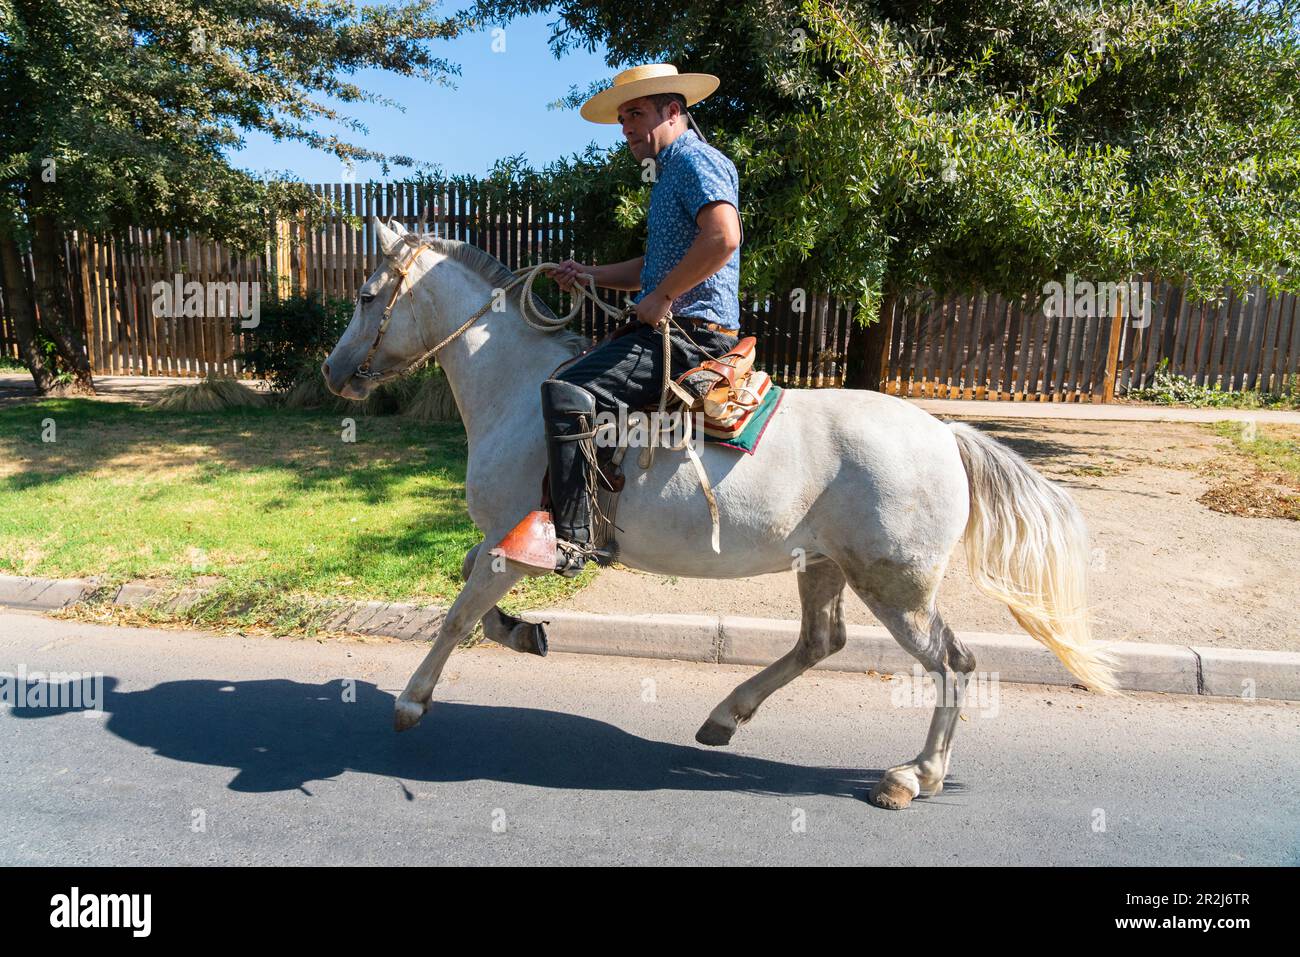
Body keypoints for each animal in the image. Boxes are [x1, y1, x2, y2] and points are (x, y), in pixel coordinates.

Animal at [322, 217, 1117, 810]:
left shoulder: (511, 543)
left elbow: (457, 613)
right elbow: (474, 601)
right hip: (823, 565)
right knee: (821, 642)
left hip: (896, 585)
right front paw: (524, 632)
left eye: (365, 294)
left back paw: (912, 776)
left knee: (953, 662)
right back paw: (725, 716)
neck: (518, 393)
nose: (332, 371)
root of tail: (945, 436)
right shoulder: (505, 543)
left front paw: (412, 702)